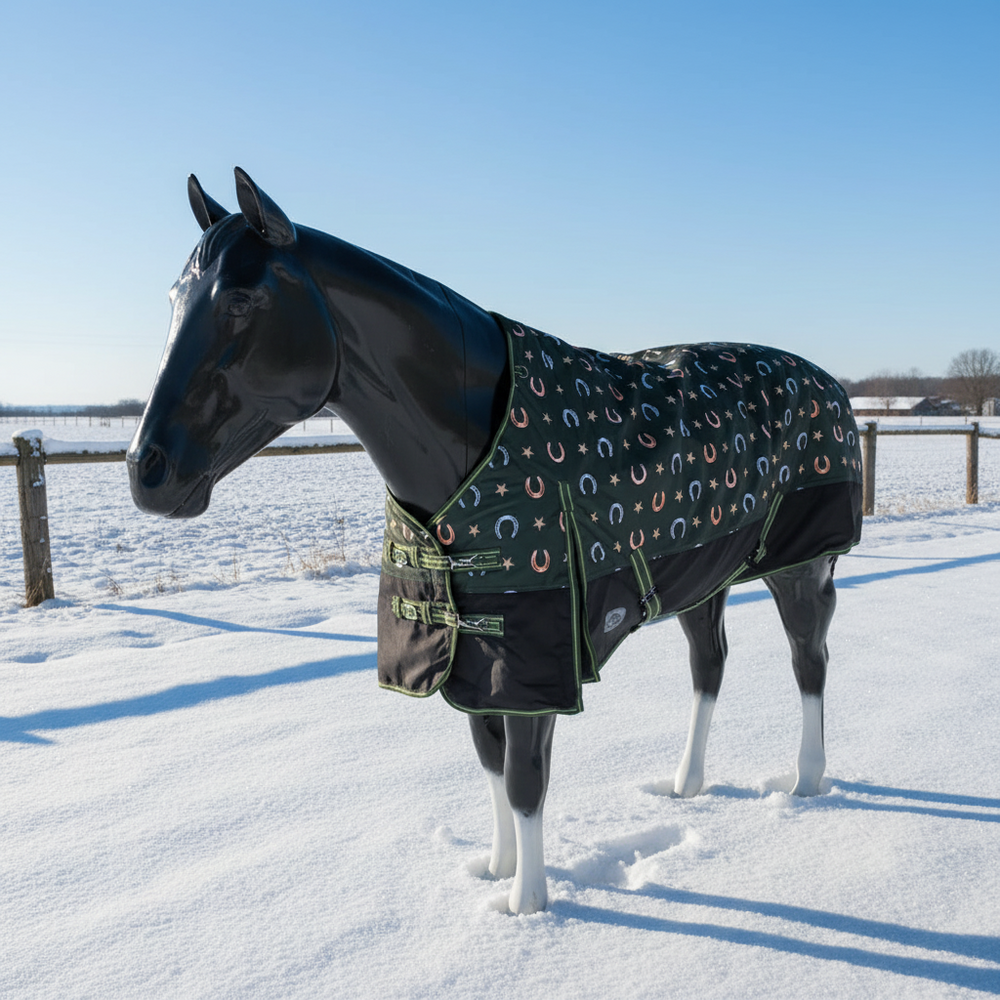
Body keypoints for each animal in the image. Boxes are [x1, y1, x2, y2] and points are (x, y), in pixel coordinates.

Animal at [127, 168, 863, 915]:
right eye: (174, 297)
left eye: (242, 297)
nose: (146, 469)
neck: (474, 436)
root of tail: (829, 383)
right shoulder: (473, 650)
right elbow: (488, 762)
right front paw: (495, 872)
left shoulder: (537, 653)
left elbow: (524, 778)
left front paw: (527, 907)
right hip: (701, 575)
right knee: (709, 666)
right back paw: (687, 785)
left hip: (799, 567)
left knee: (809, 660)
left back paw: (805, 782)